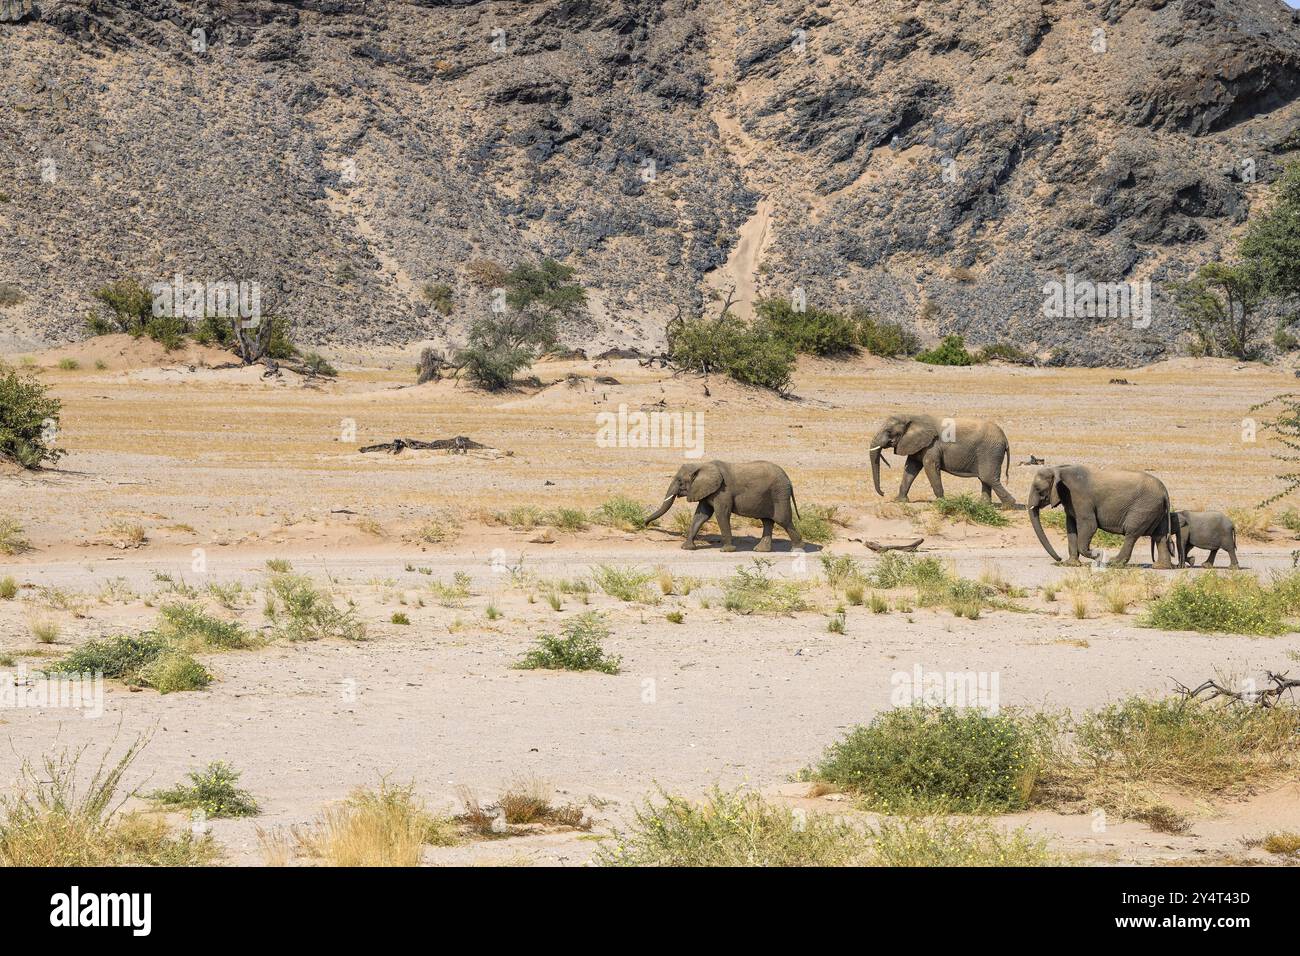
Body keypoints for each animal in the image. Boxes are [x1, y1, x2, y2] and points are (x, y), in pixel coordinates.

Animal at [643, 460, 804, 552]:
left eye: (680, 481)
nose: (645, 524)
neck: (702, 465)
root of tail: (789, 479)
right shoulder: (707, 491)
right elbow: (701, 516)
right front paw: (687, 548)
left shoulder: (722, 491)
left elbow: (721, 514)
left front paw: (727, 550)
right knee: (767, 522)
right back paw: (761, 550)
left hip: (779, 494)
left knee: (783, 520)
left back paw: (797, 549)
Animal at [869, 414, 1016, 506]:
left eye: (889, 431)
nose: (883, 493)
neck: (911, 417)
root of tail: (1005, 439)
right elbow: (911, 468)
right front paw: (900, 501)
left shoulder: (932, 445)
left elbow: (930, 466)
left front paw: (942, 503)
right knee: (985, 479)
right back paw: (984, 506)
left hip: (990, 451)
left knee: (988, 477)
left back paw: (1009, 505)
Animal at [1027, 465, 1174, 567]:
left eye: (1039, 490)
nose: (1058, 559)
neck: (1058, 469)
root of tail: (1164, 491)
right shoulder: (1069, 499)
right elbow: (1071, 527)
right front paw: (1070, 564)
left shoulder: (1080, 498)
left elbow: (1089, 525)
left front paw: (1097, 555)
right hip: (1156, 509)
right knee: (1160, 536)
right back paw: (1160, 567)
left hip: (1143, 508)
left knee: (1131, 533)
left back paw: (1114, 563)